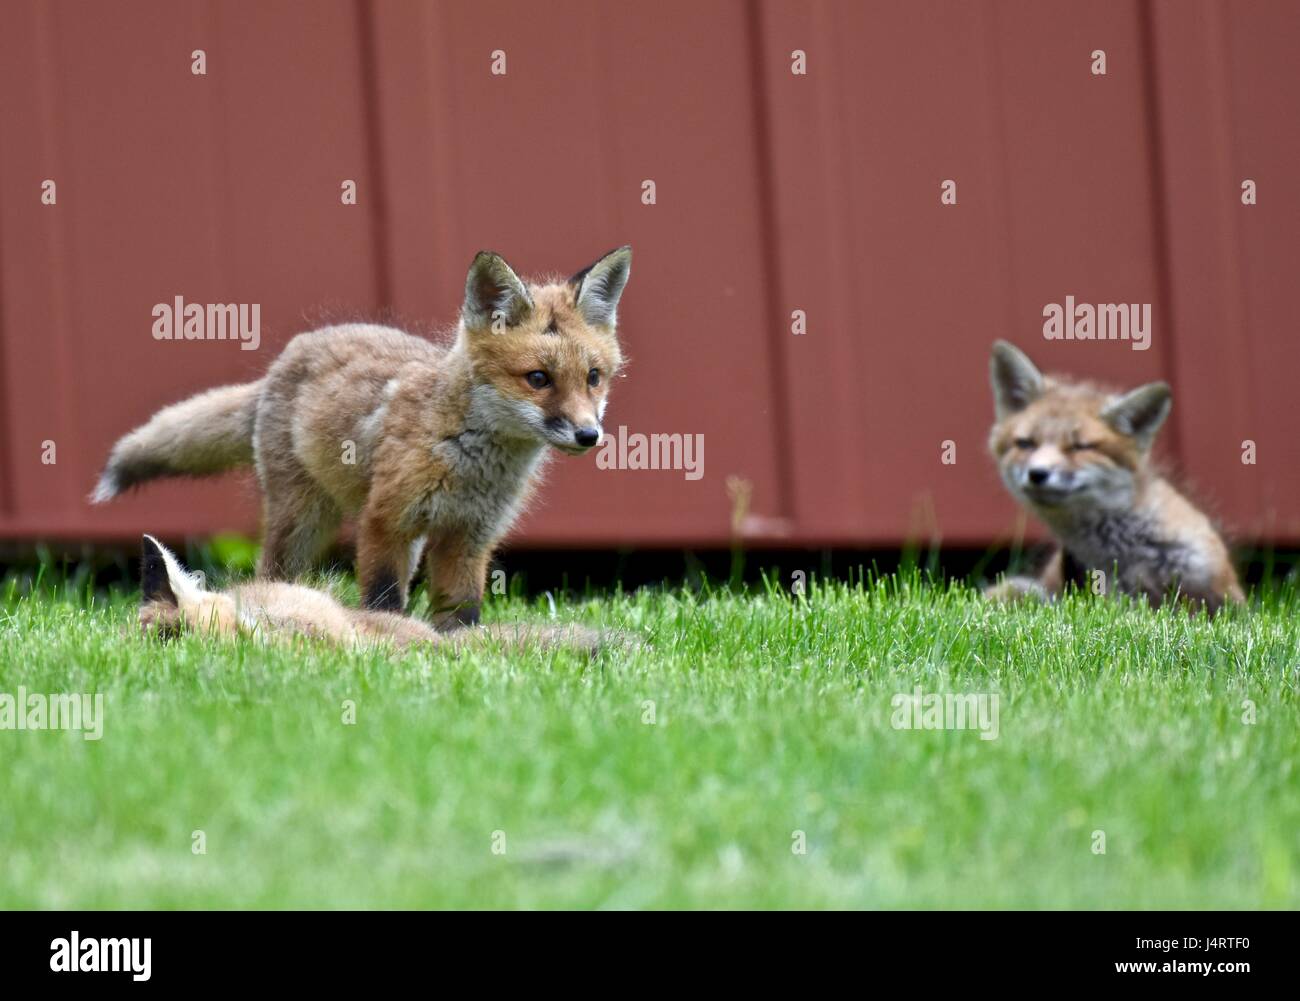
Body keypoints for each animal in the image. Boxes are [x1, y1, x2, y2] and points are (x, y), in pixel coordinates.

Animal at [95, 246, 632, 629]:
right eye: (538, 379)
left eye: (593, 378)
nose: (589, 435)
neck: (467, 455)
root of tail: (286, 358)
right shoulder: (384, 523)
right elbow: (382, 600)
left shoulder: (470, 537)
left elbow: (461, 614)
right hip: (302, 521)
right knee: (272, 573)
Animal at [985, 340, 1243, 611]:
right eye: (1026, 444)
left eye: (1080, 447)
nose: (1037, 473)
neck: (1129, 546)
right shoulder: (1110, 596)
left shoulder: (1223, 593)